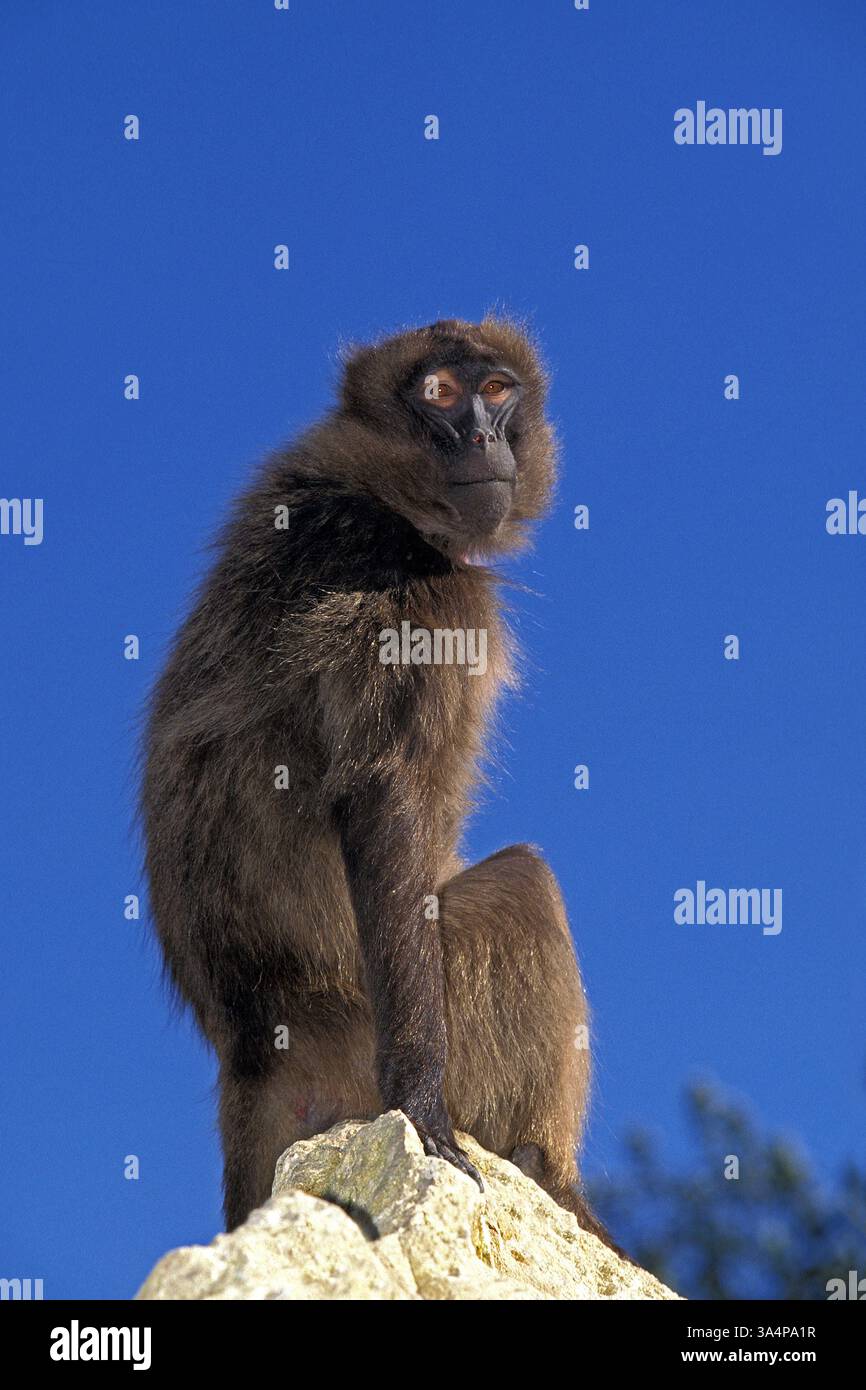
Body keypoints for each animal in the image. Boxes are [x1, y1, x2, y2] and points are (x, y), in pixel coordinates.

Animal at [142, 315, 616, 1247]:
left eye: (496, 390)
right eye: (439, 393)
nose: (480, 438)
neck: (378, 486)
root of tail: (253, 1053)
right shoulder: (407, 588)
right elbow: (381, 795)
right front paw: (420, 1102)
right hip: (392, 1025)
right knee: (526, 886)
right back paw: (552, 1173)